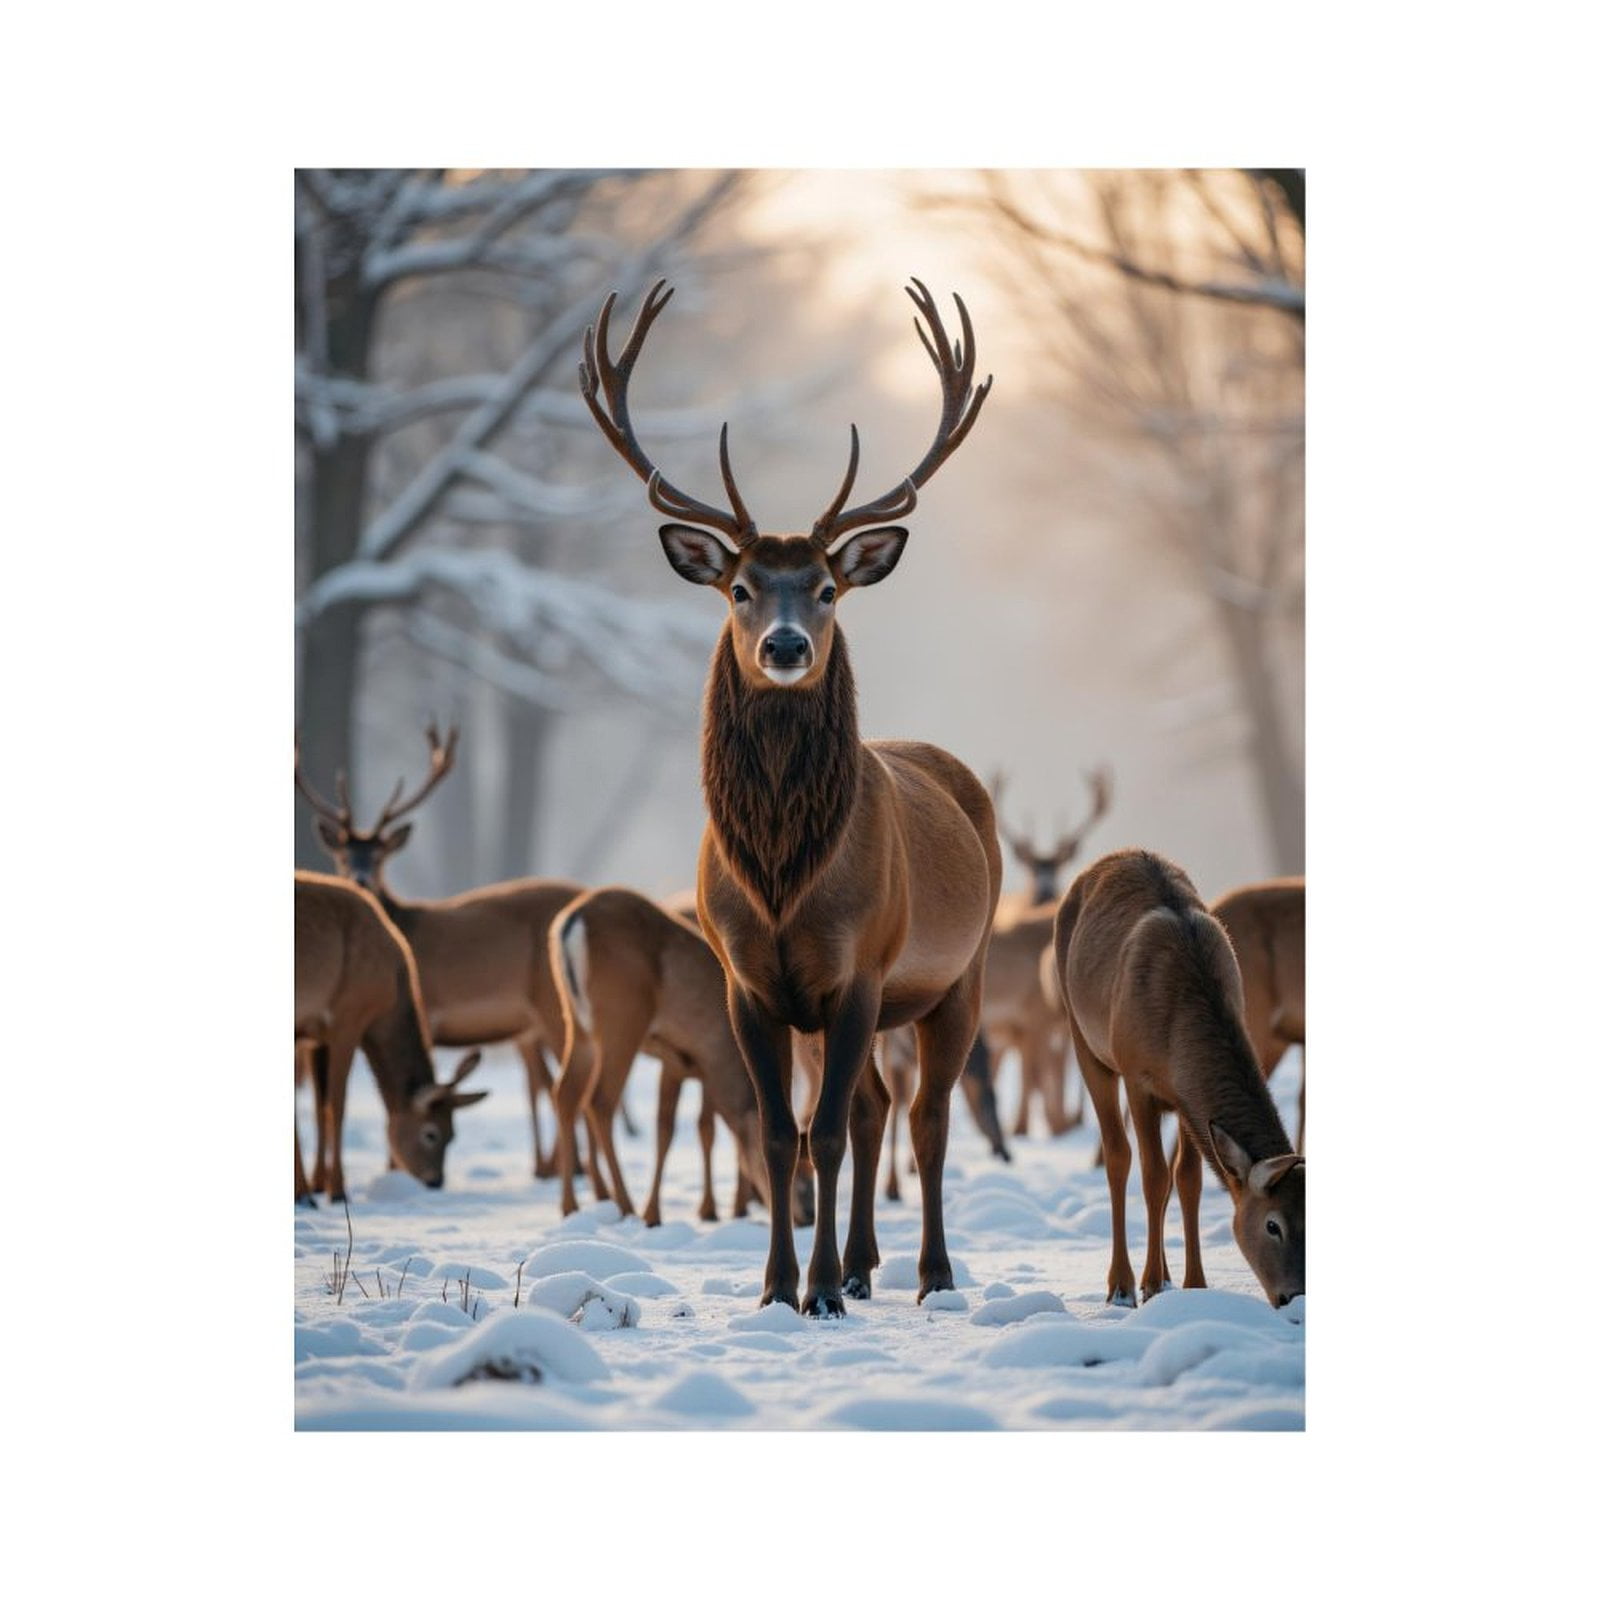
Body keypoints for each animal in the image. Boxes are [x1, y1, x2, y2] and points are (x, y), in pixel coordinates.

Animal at [294, 870, 487, 1203]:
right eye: (431, 1134)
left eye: (453, 1135)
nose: (435, 1181)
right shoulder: (349, 1016)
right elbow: (337, 1106)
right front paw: (337, 1191)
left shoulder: (313, 1035)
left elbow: (319, 1110)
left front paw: (317, 1185)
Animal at [580, 277, 1001, 1314]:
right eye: (738, 586)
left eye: (825, 588)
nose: (783, 646)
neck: (781, 878)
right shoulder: (748, 982)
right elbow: (784, 1134)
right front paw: (778, 1288)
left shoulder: (860, 968)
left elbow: (829, 1133)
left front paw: (817, 1296)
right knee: (881, 1106)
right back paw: (861, 1261)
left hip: (959, 973)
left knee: (925, 1115)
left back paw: (930, 1272)